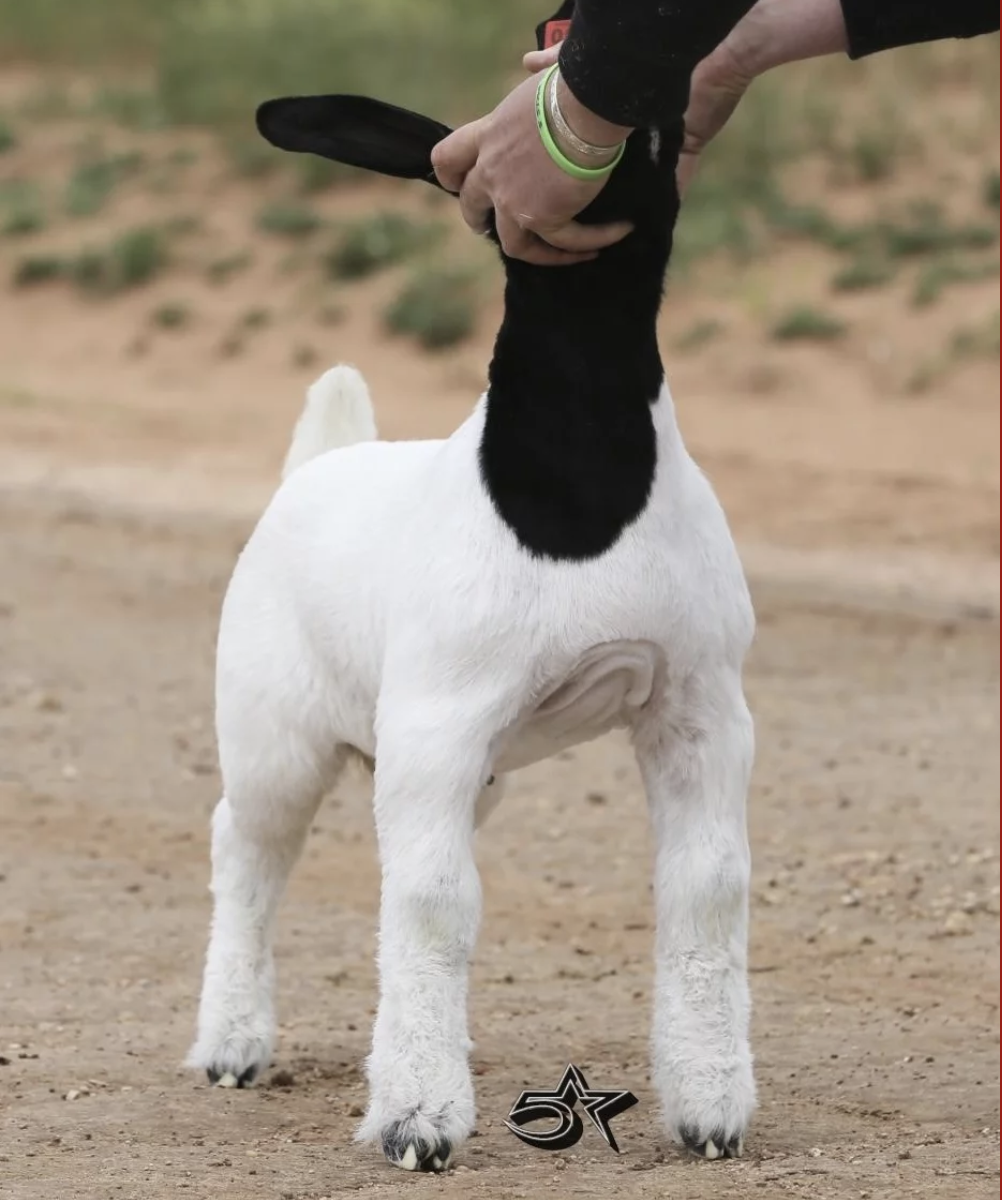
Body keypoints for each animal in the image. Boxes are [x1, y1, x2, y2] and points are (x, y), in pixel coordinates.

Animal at [187, 9, 757, 1175]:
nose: (606, 65)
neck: (580, 477)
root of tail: (320, 461)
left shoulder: (699, 709)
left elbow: (707, 891)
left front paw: (713, 1107)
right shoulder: (438, 729)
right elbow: (434, 906)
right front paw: (417, 1118)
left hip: (465, 768)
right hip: (277, 736)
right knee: (247, 854)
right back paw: (233, 1042)